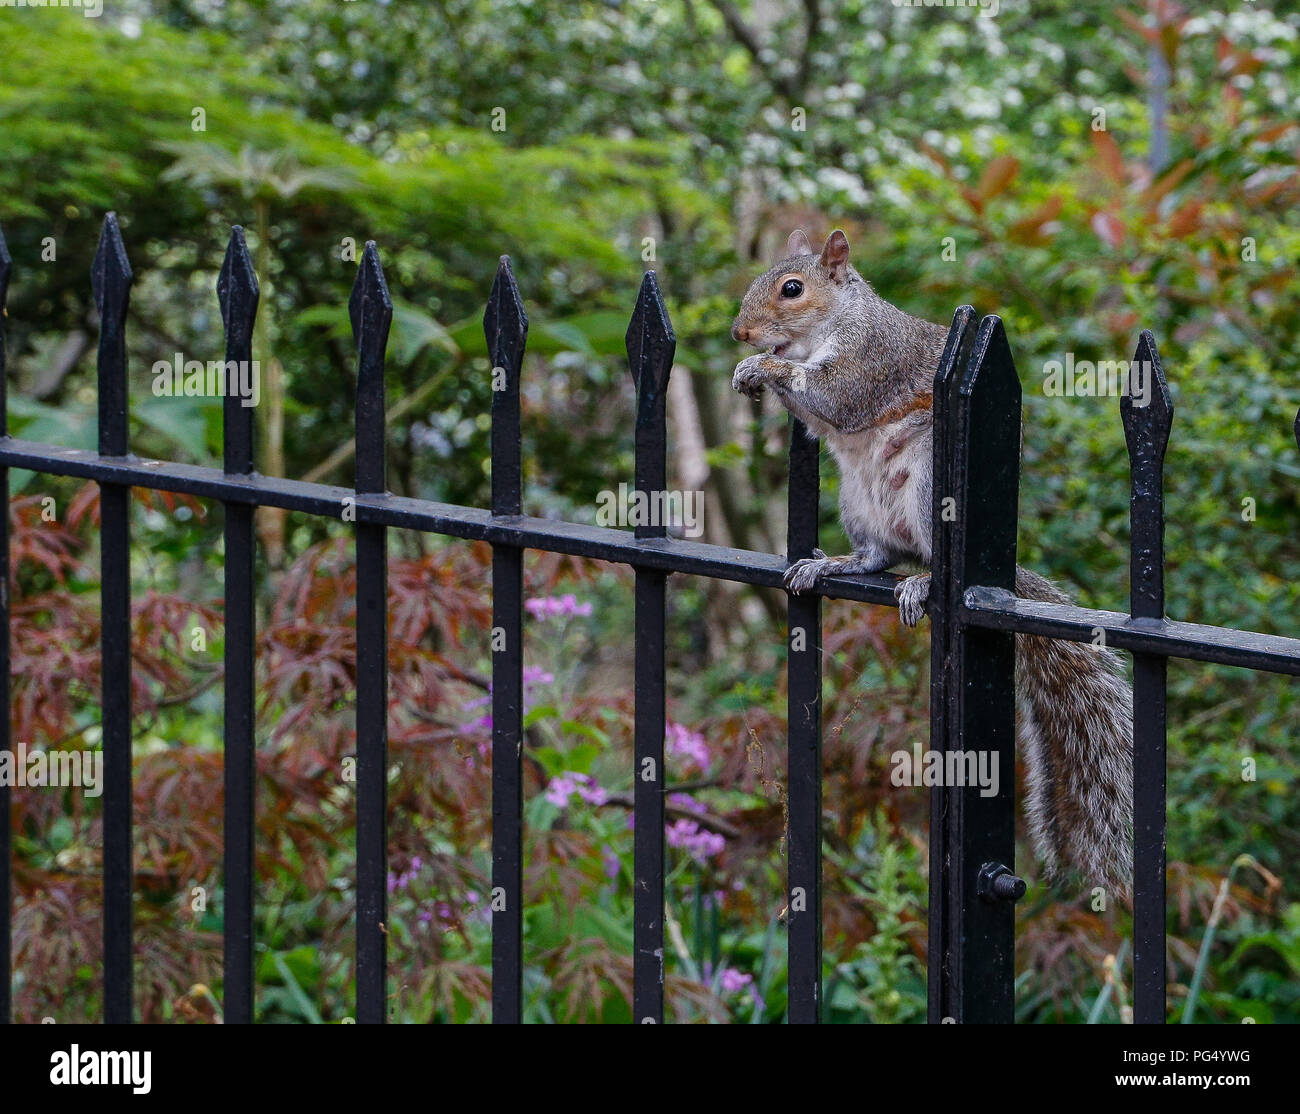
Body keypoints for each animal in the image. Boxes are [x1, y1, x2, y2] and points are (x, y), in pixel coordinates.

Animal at [730, 228, 1133, 895]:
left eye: (792, 288)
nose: (740, 334)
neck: (829, 326)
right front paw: (747, 370)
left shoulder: (870, 360)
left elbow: (834, 396)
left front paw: (766, 367)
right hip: (858, 503)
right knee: (878, 558)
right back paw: (835, 565)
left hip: (925, 487)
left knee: (919, 559)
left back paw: (921, 581)